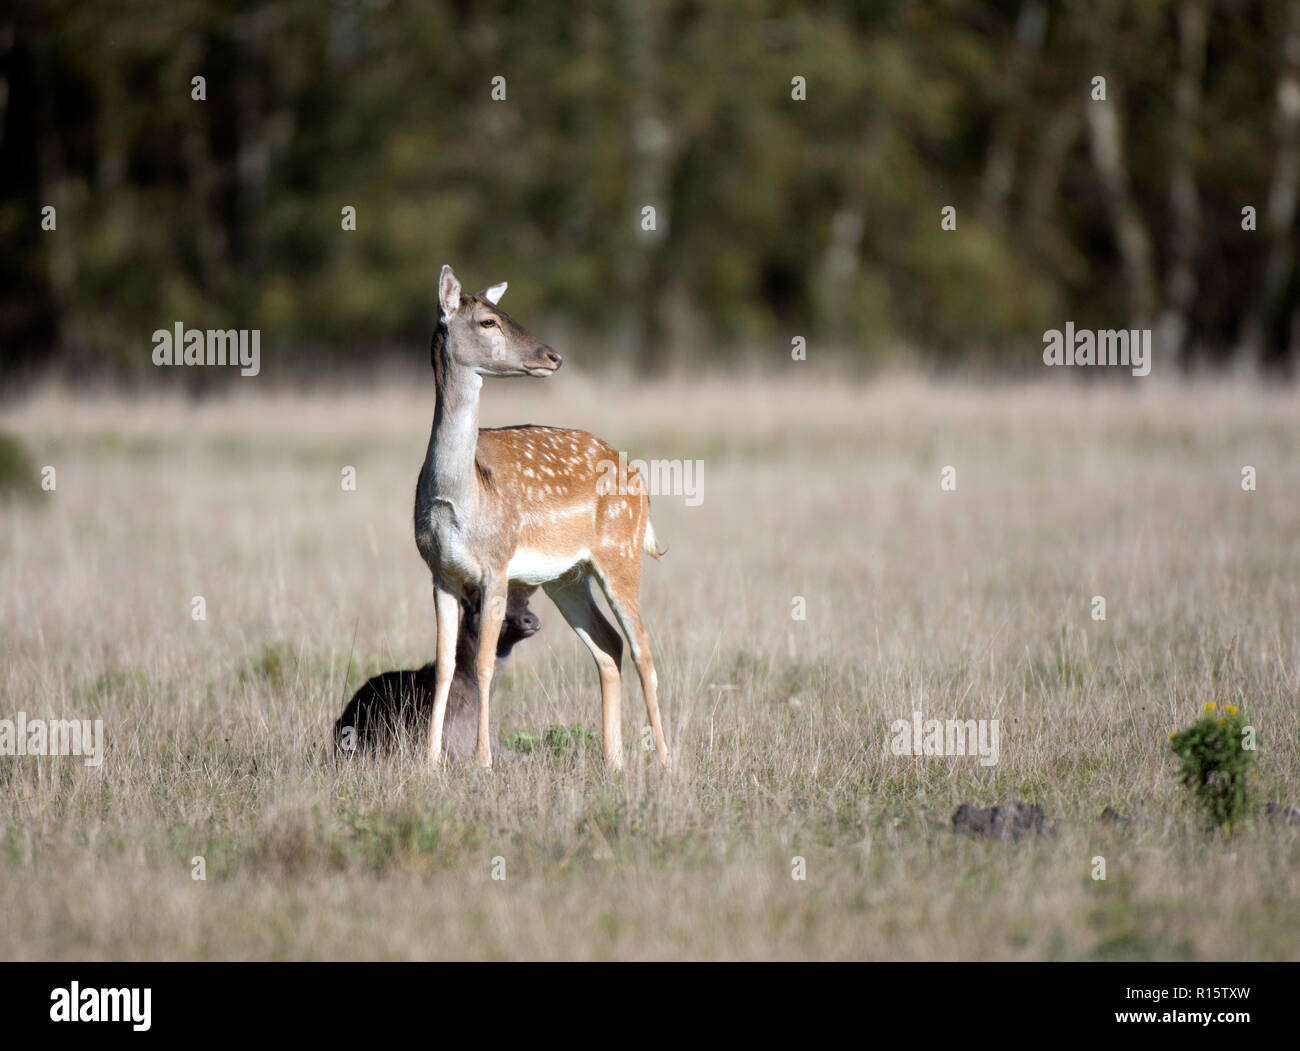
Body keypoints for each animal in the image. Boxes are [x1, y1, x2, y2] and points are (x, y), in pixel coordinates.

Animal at [414, 265, 669, 772]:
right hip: (565, 577)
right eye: (488, 321)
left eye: (504, 313)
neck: (460, 496)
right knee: (609, 644)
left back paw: (666, 760)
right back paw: (614, 760)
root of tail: (638, 478)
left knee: (643, 647)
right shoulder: (439, 573)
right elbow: (446, 663)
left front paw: (483, 761)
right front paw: (429, 763)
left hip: (621, 553)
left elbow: (484, 662)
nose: (554, 355)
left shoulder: (496, 563)